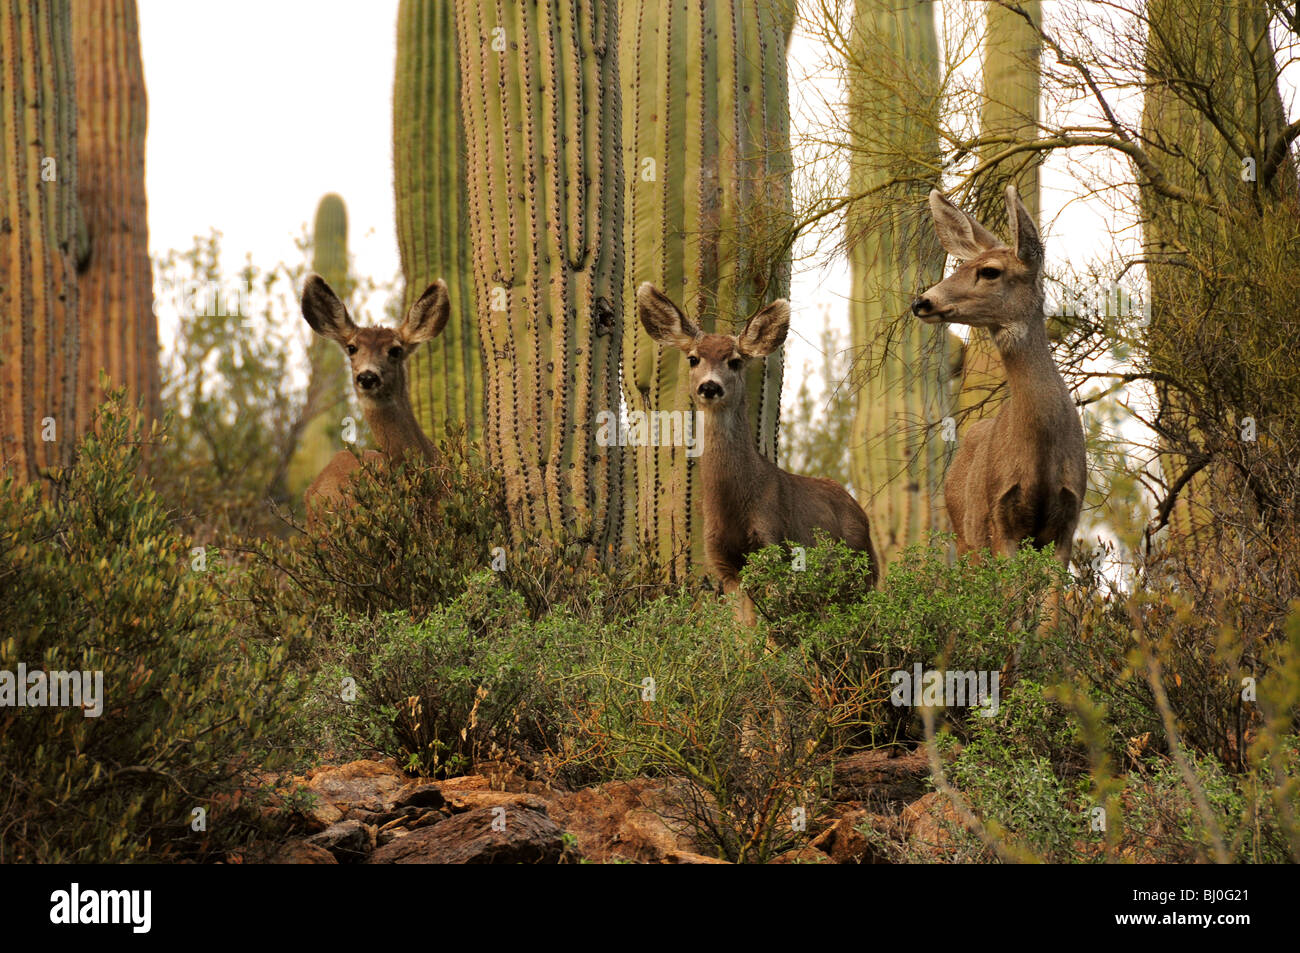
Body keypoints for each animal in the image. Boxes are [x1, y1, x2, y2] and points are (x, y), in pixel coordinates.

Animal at [638, 283, 880, 625]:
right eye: (693, 358)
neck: (736, 505)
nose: (709, 387)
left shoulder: (773, 543)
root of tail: (859, 510)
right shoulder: (724, 564)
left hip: (862, 571)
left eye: (735, 361)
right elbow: (743, 633)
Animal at [911, 185, 1086, 573]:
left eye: (989, 271)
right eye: (959, 266)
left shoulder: (1067, 520)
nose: (922, 302)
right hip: (967, 537)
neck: (1042, 452)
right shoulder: (1000, 517)